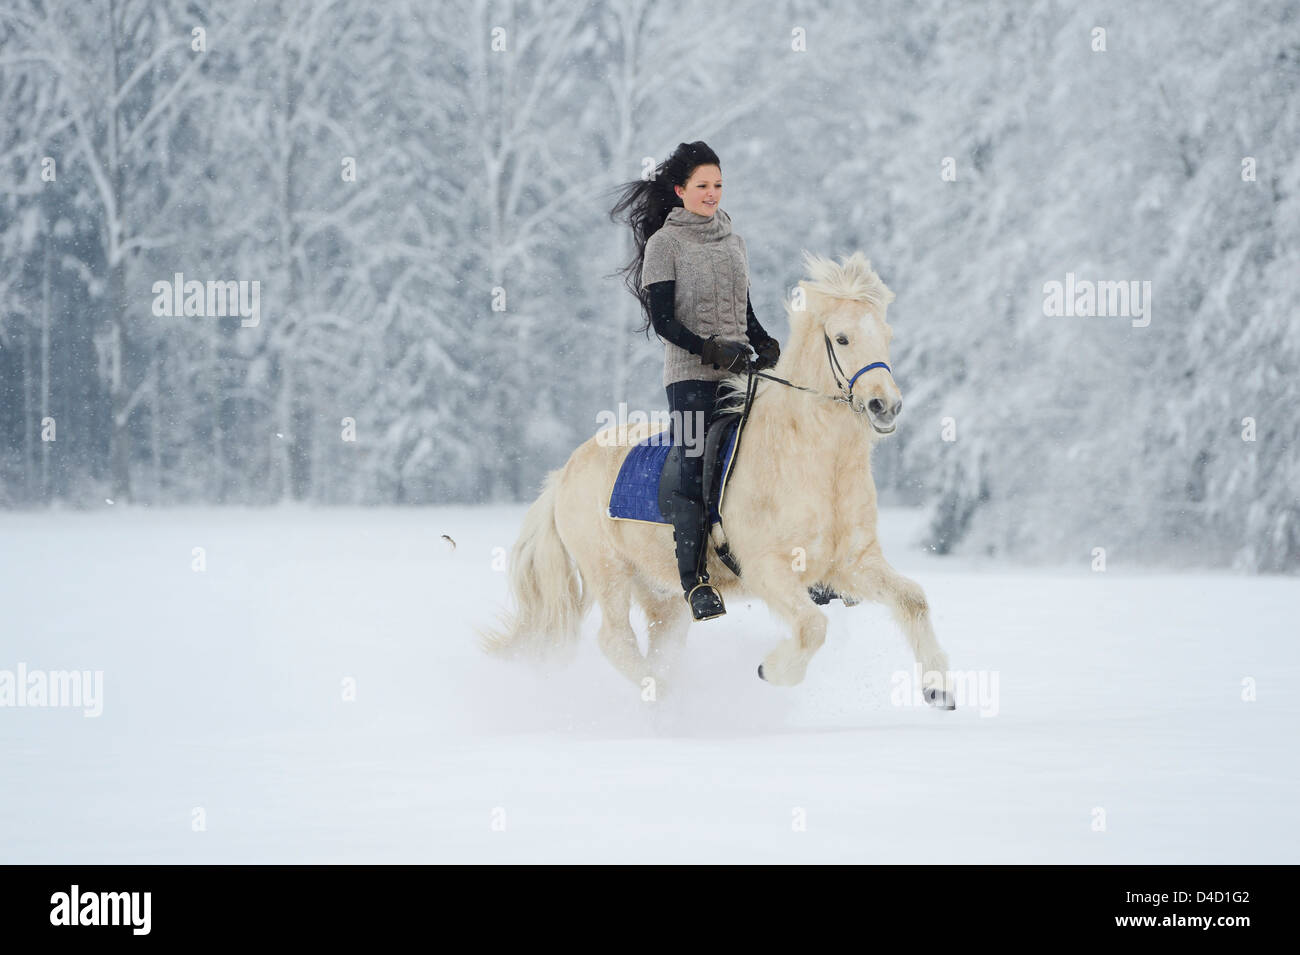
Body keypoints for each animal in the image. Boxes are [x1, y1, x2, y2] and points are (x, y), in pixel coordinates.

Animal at [478, 250, 955, 709]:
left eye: (887, 336)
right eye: (842, 338)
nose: (885, 407)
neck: (816, 465)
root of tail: (564, 473)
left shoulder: (852, 564)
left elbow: (913, 599)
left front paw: (939, 691)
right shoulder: (768, 568)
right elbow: (813, 626)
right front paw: (771, 672)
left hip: (663, 594)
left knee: (659, 645)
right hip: (607, 571)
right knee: (615, 641)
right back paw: (669, 702)